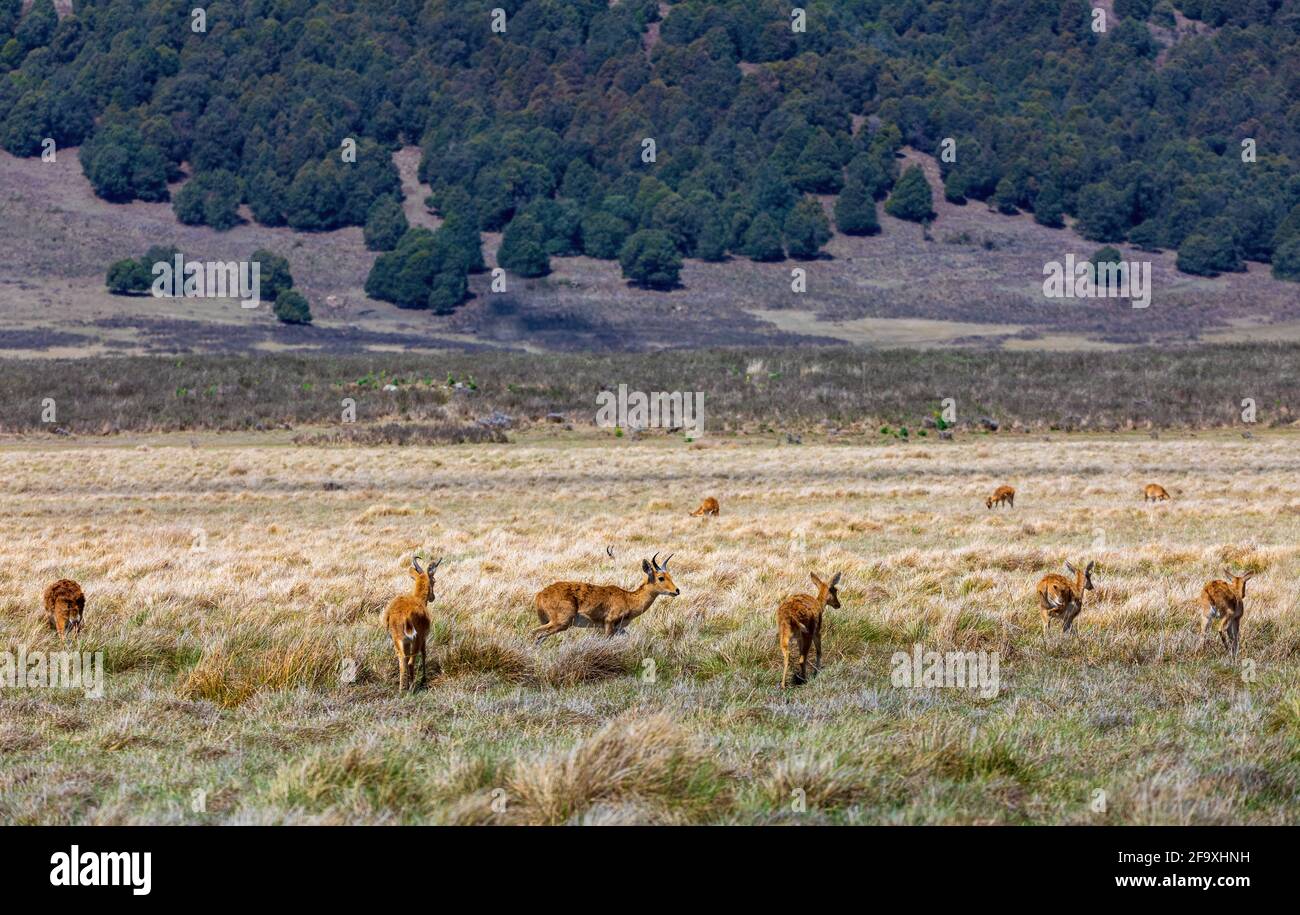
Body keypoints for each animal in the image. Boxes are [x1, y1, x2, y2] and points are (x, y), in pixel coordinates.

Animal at [383, 555, 440, 692]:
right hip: (416, 639)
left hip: (398, 640)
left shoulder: (407, 642)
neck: (417, 599)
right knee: (410, 661)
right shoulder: (423, 637)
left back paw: (401, 689)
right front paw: (423, 680)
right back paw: (412, 688)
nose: (433, 597)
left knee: (402, 660)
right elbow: (424, 653)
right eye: (434, 580)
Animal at [532, 552, 680, 642]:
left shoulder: (620, 629)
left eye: (670, 576)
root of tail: (540, 594)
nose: (677, 591)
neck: (628, 598)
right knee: (535, 633)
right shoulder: (609, 624)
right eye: (661, 578)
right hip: (561, 623)